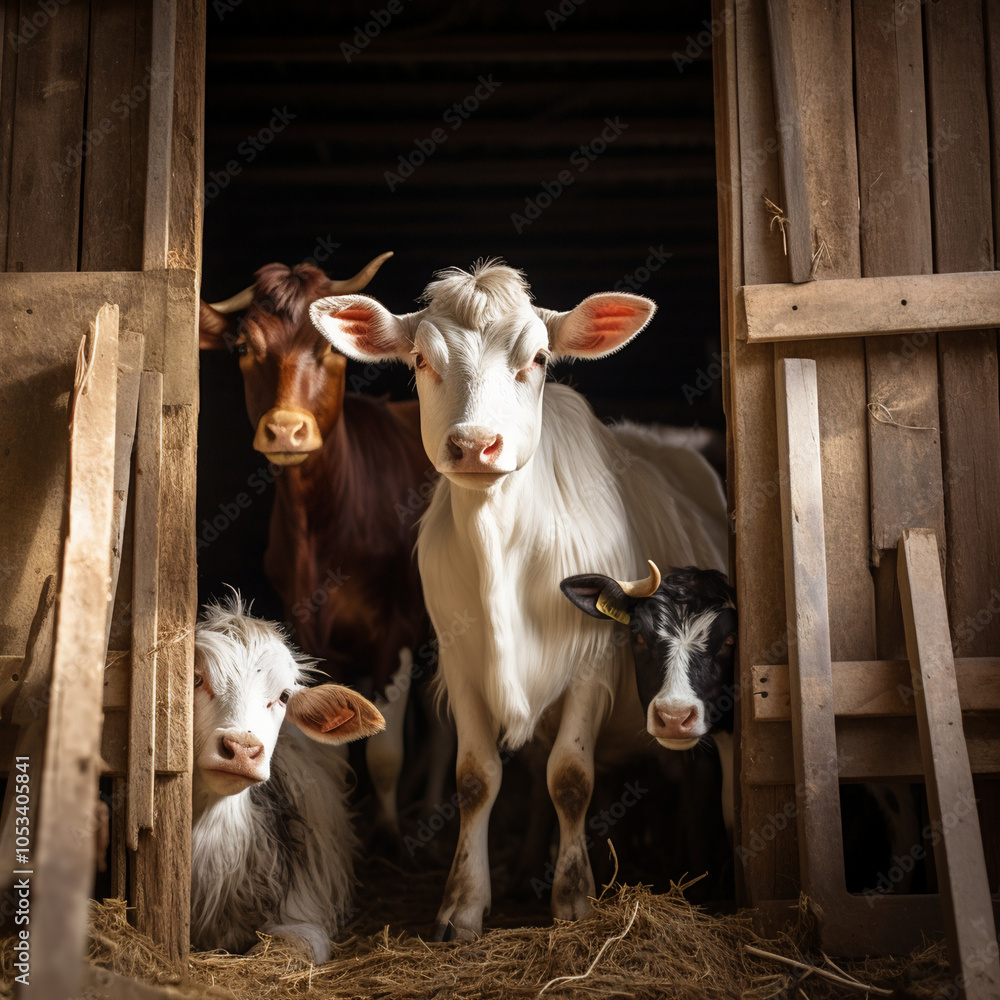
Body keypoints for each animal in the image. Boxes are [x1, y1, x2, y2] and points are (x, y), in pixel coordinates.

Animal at [199, 253, 443, 839]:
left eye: (331, 348)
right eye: (244, 348)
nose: (286, 430)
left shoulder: (400, 628)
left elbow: (384, 752)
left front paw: (387, 829)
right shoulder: (307, 620)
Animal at [309, 260, 728, 939]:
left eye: (537, 357)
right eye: (420, 359)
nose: (475, 444)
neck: (498, 554)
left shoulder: (592, 663)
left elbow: (572, 778)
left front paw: (574, 899)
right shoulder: (460, 662)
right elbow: (479, 778)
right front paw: (463, 904)